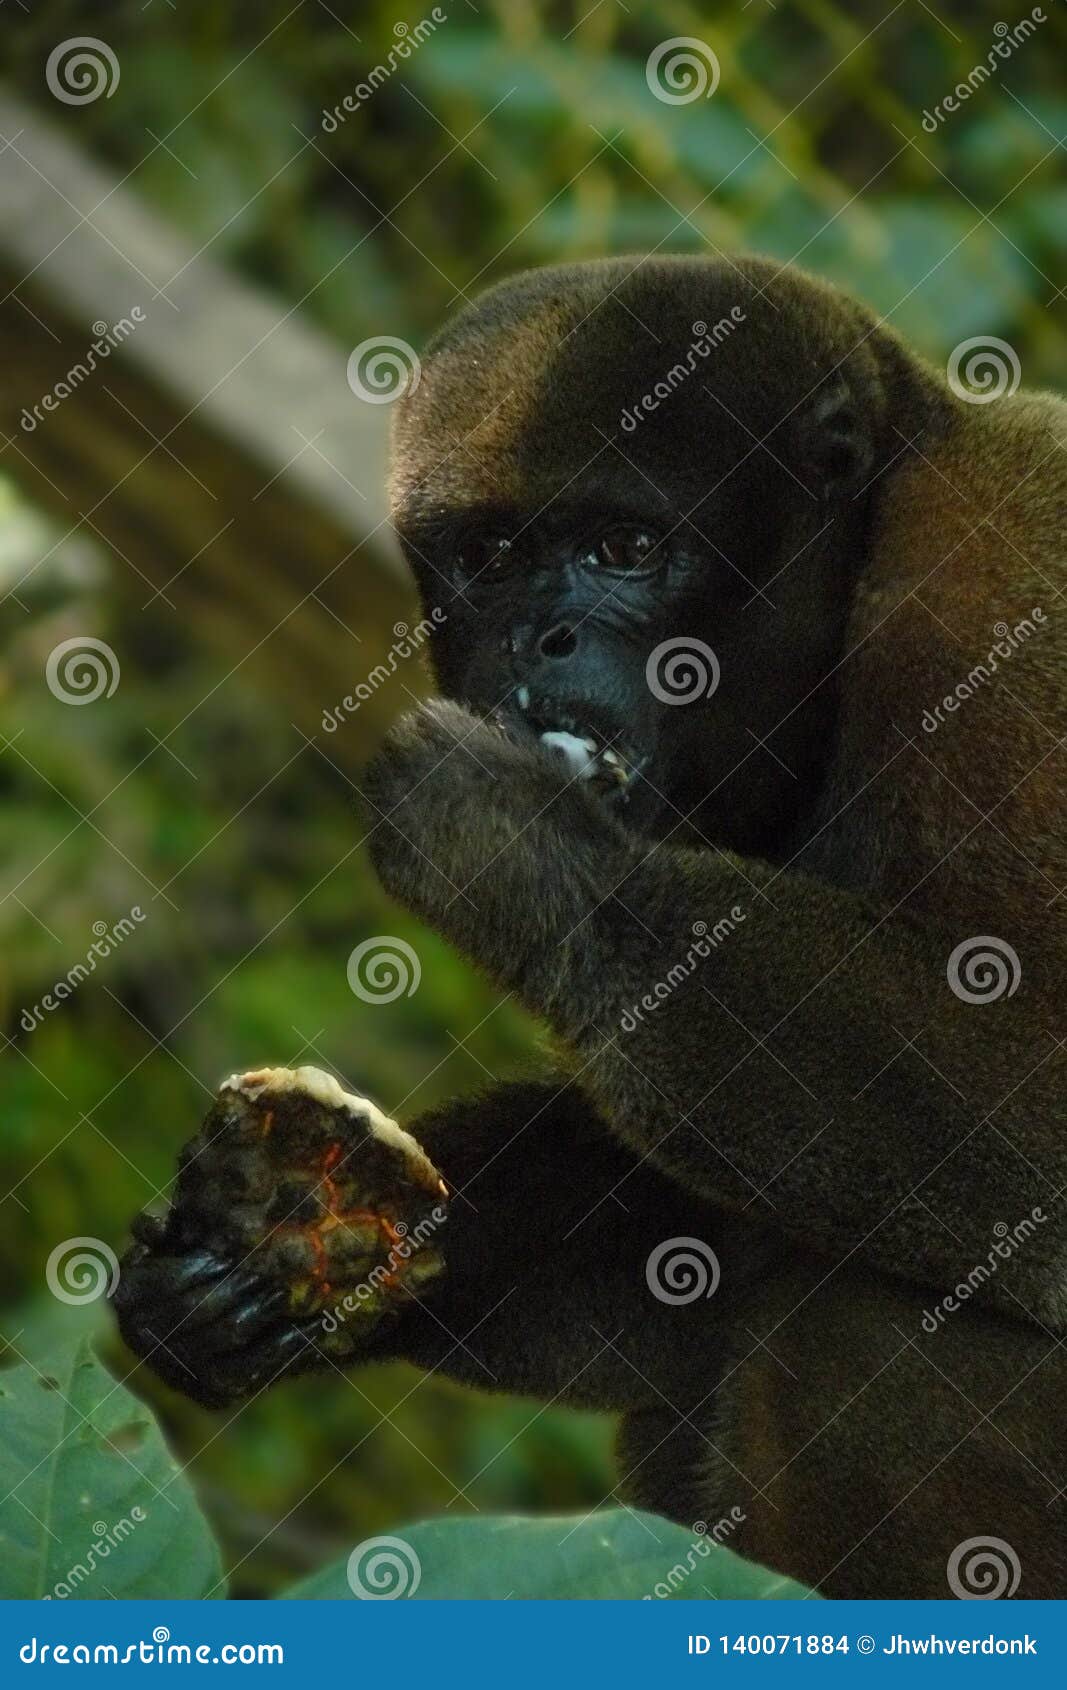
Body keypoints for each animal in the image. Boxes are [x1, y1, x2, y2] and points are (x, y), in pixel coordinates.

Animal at [115, 254, 1067, 1599]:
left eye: (625, 547)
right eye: (488, 559)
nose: (538, 639)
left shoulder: (1004, 584)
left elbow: (1034, 1103)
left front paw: (521, 852)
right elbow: (701, 1244)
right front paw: (275, 1238)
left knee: (870, 1344)